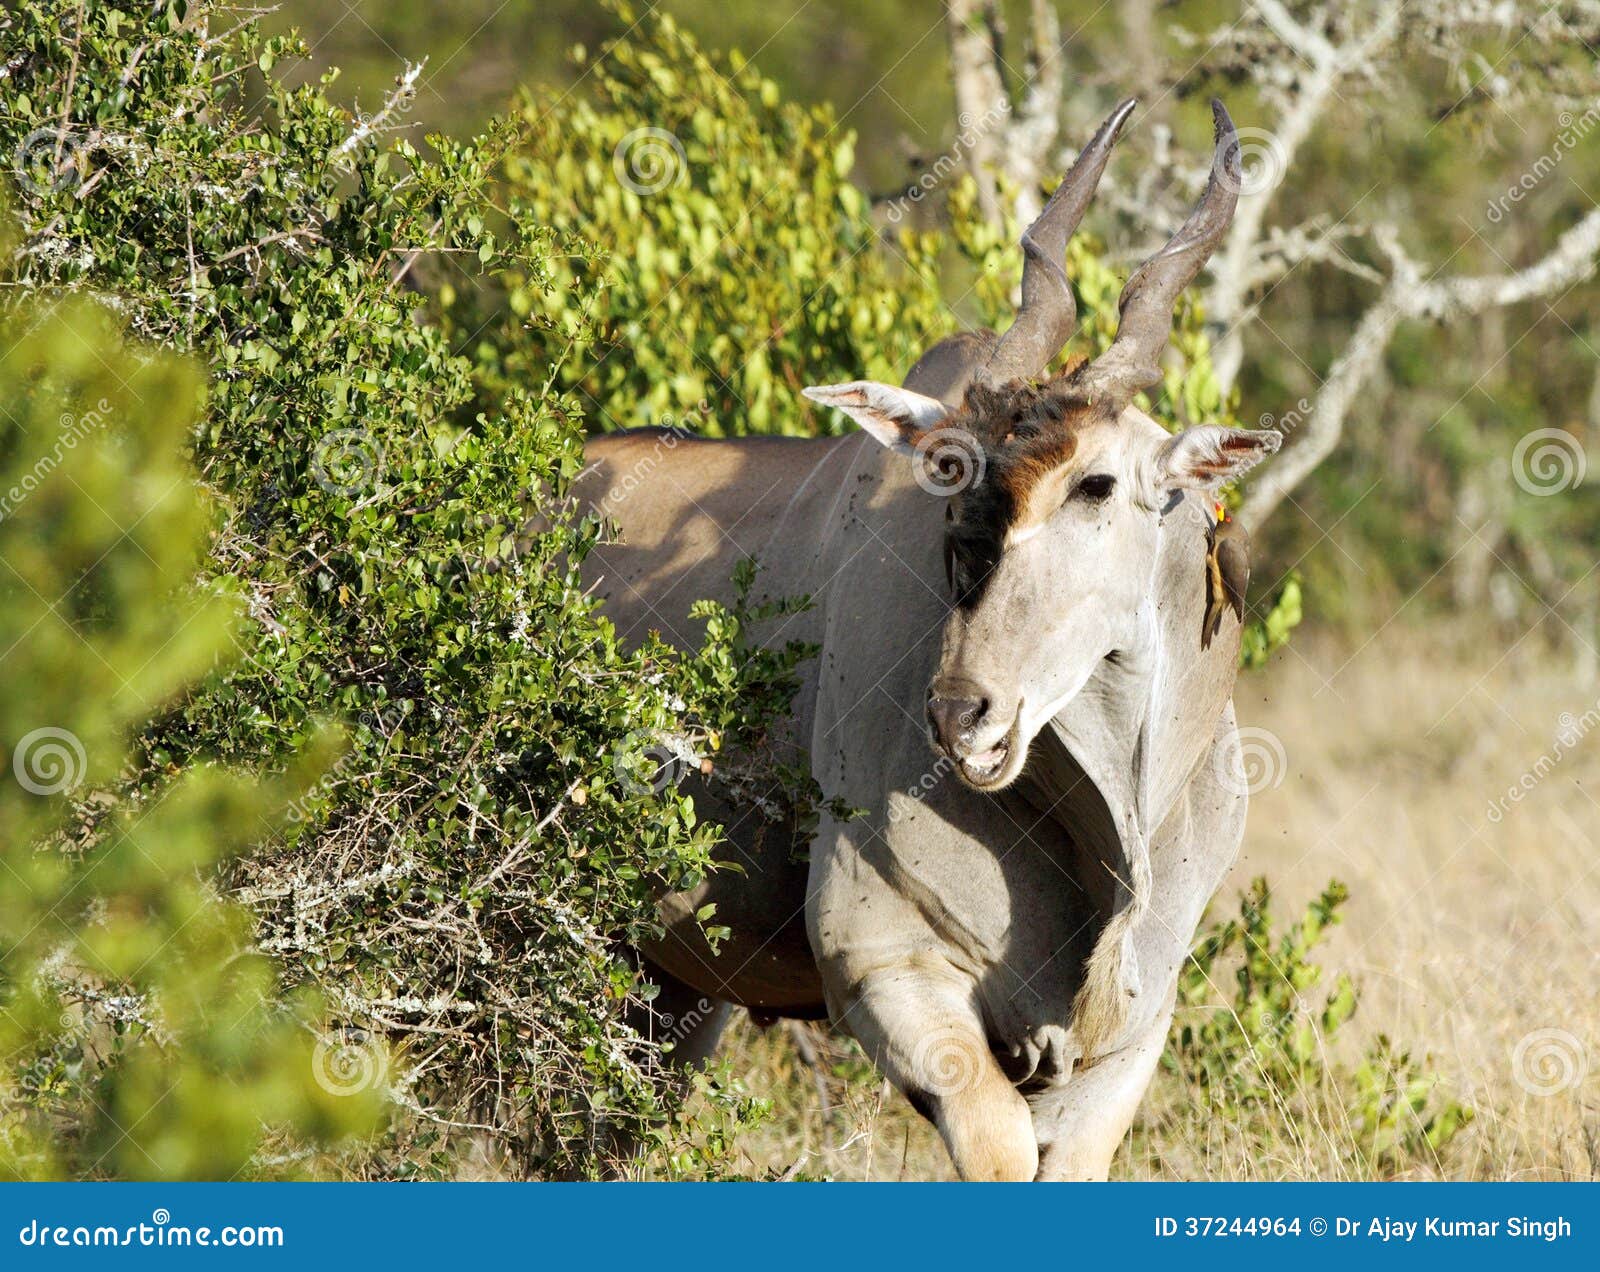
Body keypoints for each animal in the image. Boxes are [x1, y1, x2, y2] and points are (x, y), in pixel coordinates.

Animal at [577, 98, 1279, 1180]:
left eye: (1096, 483)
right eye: (949, 480)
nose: (961, 715)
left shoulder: (1122, 1050)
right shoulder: (887, 966)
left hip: (671, 989)